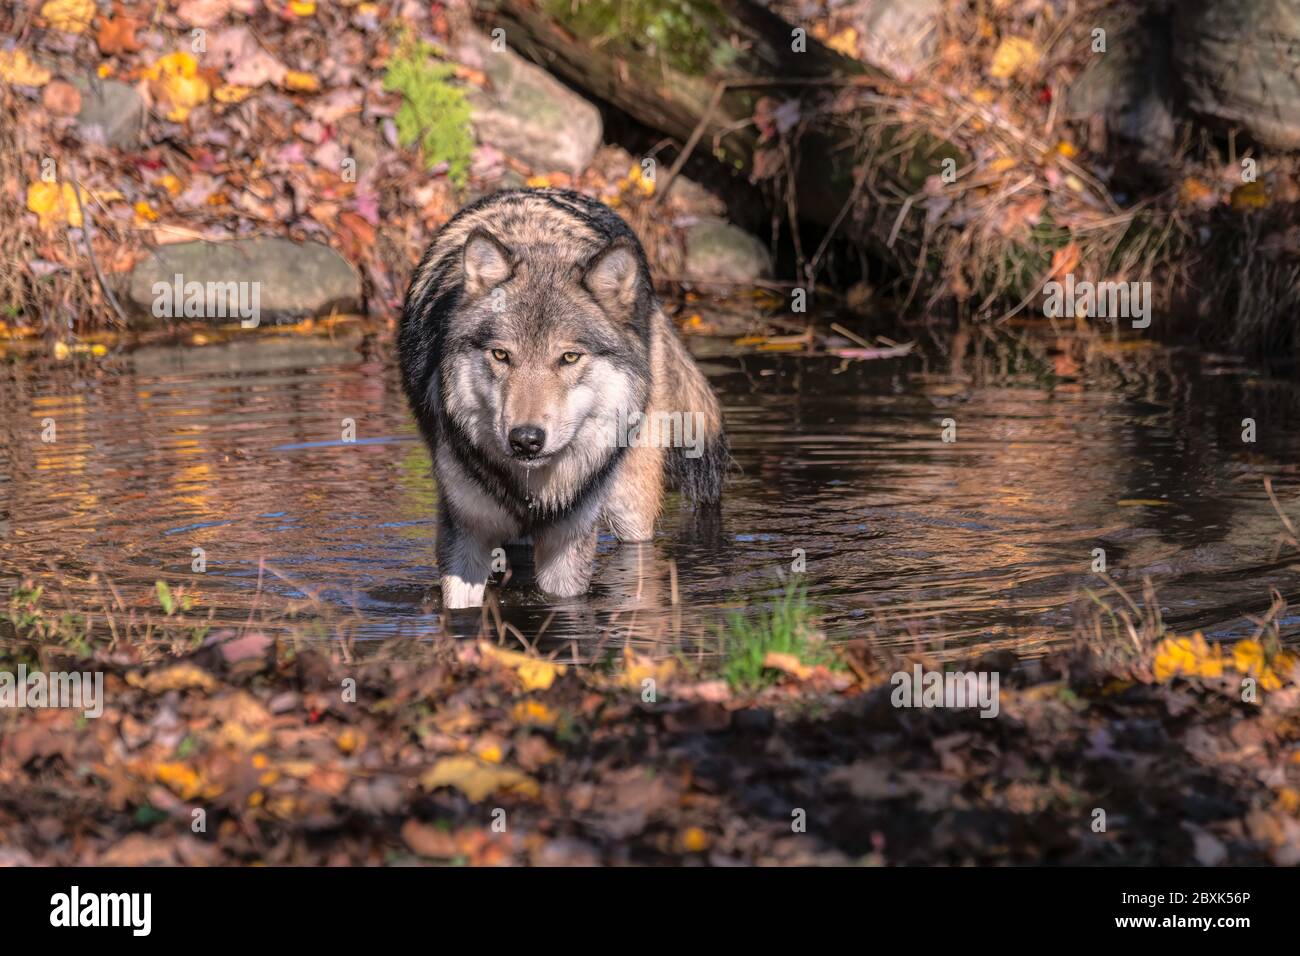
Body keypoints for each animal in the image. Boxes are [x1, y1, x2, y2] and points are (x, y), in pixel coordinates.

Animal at [399, 188, 727, 608]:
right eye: (501, 355)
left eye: (569, 357)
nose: (526, 439)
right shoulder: (465, 536)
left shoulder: (568, 543)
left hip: (629, 507)